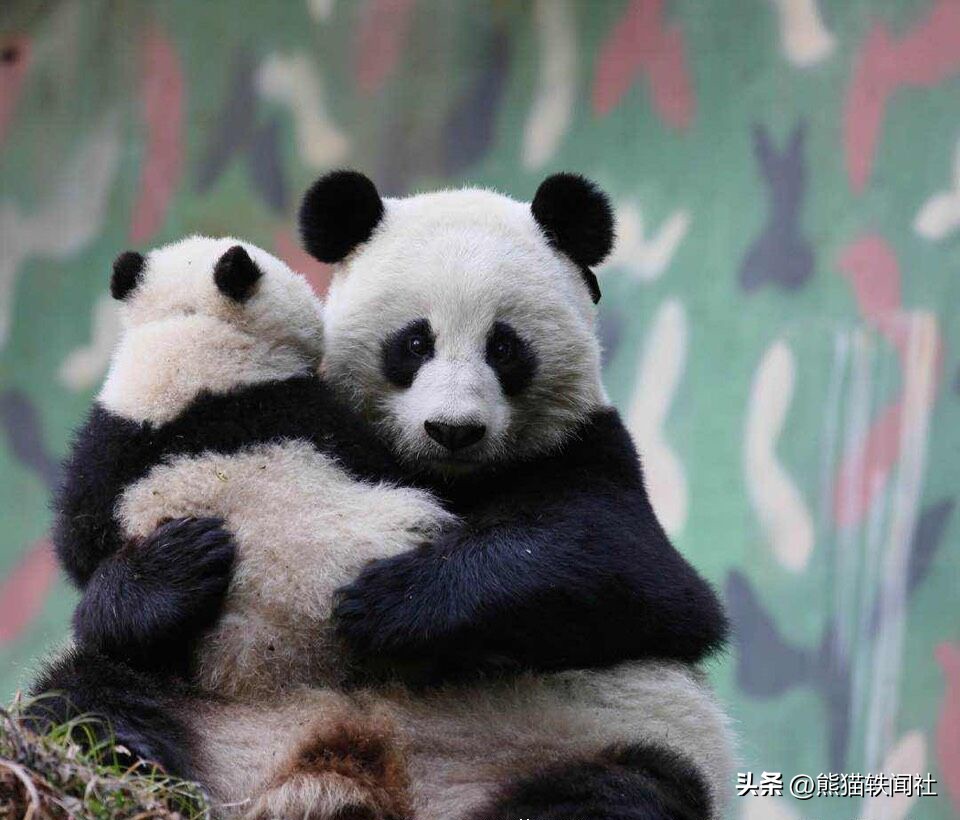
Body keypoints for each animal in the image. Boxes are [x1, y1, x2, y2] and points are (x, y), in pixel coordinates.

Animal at [35, 174, 734, 820]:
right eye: (415, 342)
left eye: (504, 346)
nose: (454, 430)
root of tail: (345, 772)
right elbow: (93, 586)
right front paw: (165, 571)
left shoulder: (588, 452)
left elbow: (640, 581)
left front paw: (392, 602)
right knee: (83, 696)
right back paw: (129, 749)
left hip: (593, 733)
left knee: (626, 788)